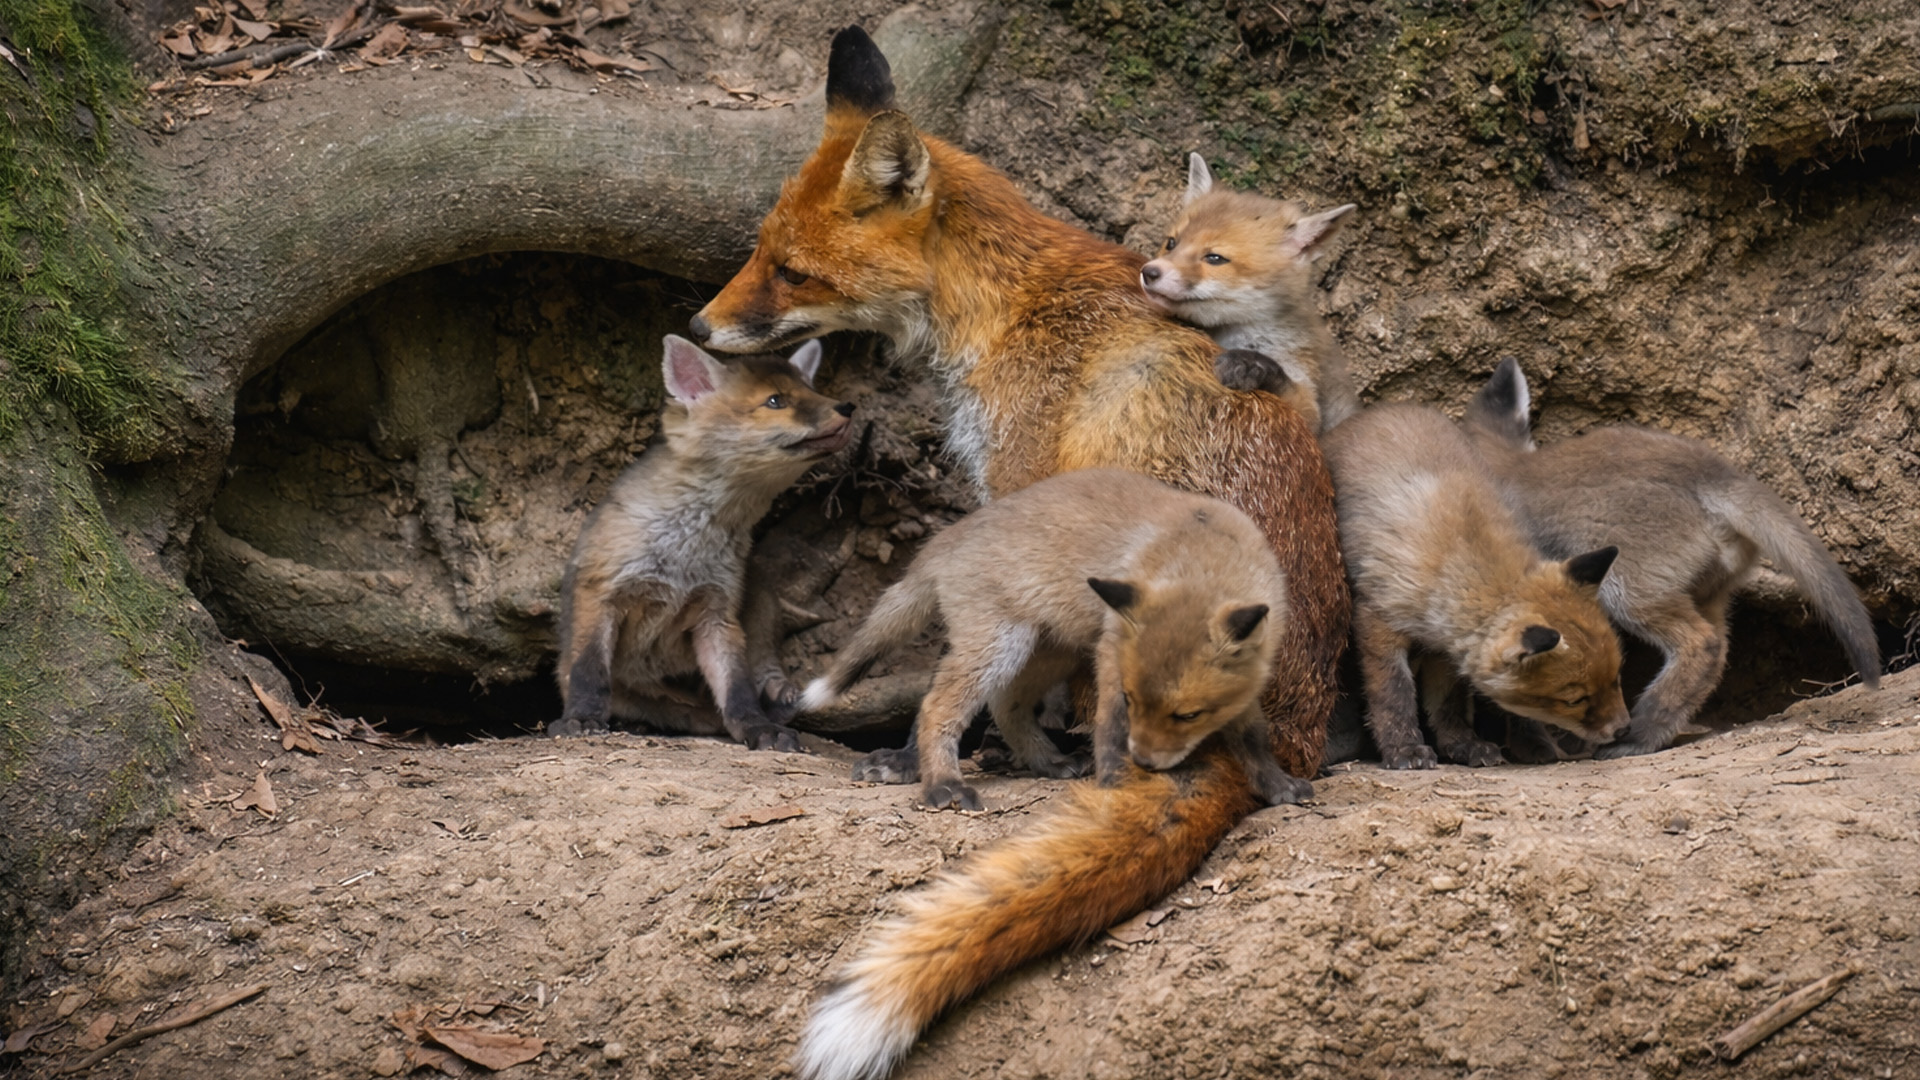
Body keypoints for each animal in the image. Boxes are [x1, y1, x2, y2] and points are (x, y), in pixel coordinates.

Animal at [549, 335, 854, 750]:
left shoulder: (717, 612)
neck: (687, 550)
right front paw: (580, 719)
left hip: (761, 600)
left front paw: (757, 728)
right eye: (776, 401)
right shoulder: (599, 593)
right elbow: (588, 670)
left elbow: (737, 688)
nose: (847, 407)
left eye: (813, 391)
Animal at [796, 468, 1307, 811]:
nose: (1144, 762)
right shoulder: (1110, 652)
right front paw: (1114, 782)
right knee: (937, 707)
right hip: (1001, 643)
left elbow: (1253, 736)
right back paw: (942, 784)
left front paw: (1275, 783)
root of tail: (948, 537)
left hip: (1050, 650)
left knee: (1006, 706)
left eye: (1188, 715)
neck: (1203, 555)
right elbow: (1109, 725)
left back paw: (1046, 761)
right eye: (1131, 699)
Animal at [1140, 153, 1360, 434]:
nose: (1149, 272)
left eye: (1214, 258)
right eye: (1171, 243)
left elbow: (1285, 382)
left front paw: (1249, 364)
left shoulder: (1308, 409)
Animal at [1322, 402, 1632, 768]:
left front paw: (1463, 744)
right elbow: (1393, 697)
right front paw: (1404, 749)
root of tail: (1385, 409)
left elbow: (1449, 703)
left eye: (1616, 677)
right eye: (1574, 699)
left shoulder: (1444, 648)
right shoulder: (1379, 622)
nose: (1624, 729)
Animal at [1463, 357, 1883, 757]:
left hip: (1627, 591)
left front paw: (1530, 746)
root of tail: (1714, 472)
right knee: (1717, 651)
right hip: (1707, 595)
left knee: (1702, 644)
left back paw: (1637, 735)